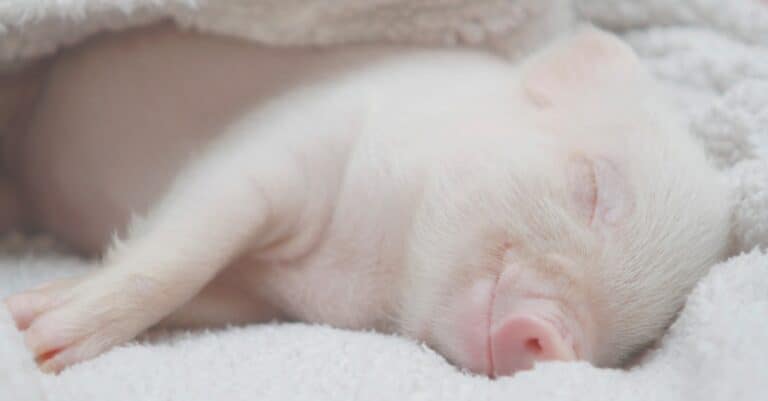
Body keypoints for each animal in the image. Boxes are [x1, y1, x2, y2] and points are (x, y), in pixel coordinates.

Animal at [2, 24, 731, 376]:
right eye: (594, 189)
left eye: (644, 336)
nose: (556, 335)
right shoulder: (281, 139)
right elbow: (191, 239)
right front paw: (37, 334)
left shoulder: (251, 298)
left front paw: (40, 312)